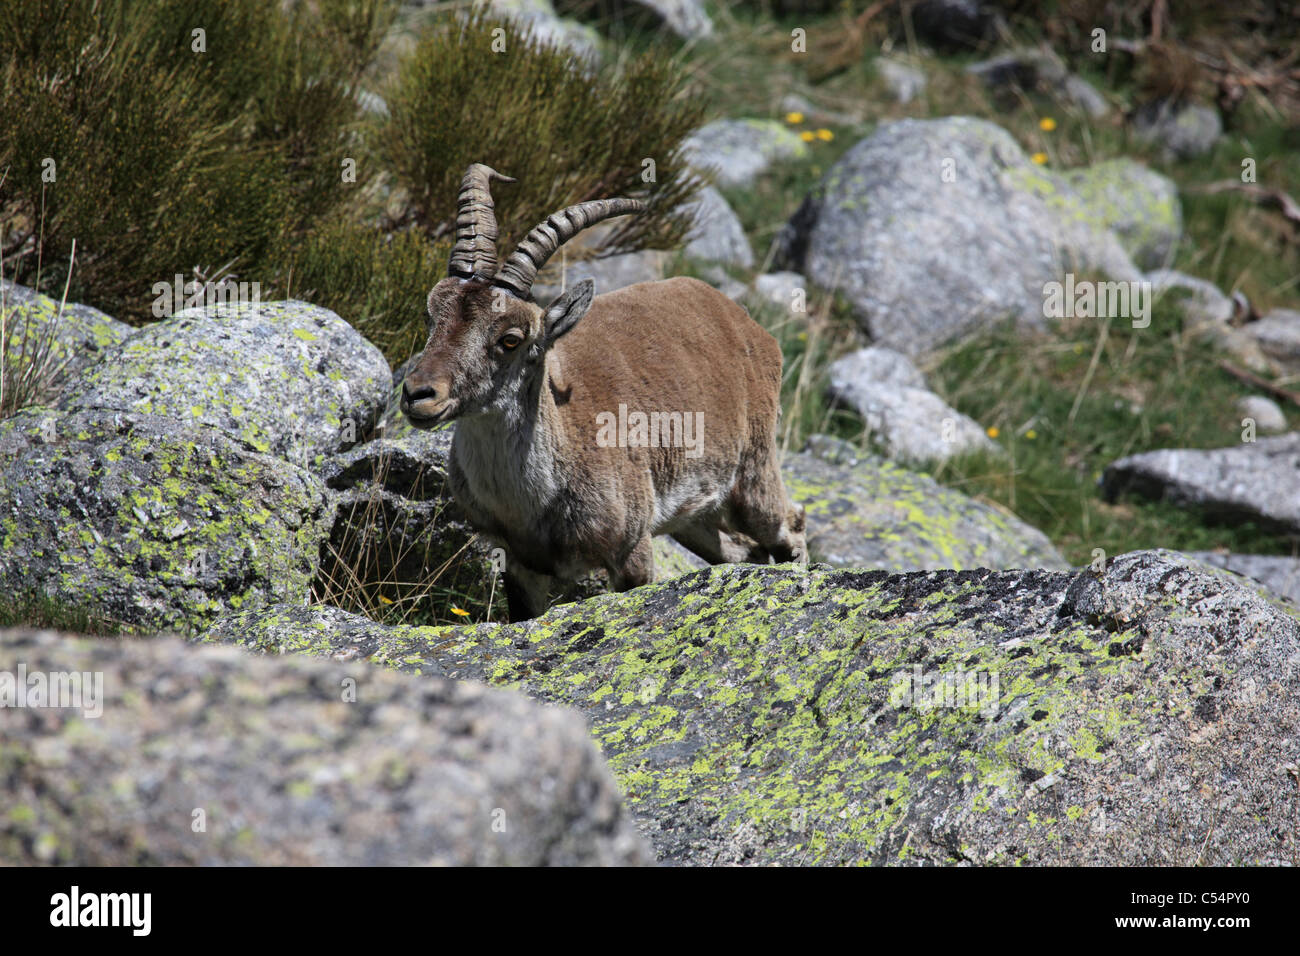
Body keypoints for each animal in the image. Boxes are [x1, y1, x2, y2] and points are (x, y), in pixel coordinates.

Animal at [401, 164, 807, 619]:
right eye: (432, 314)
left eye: (511, 339)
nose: (418, 394)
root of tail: (747, 323)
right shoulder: (519, 564)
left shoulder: (631, 549)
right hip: (695, 518)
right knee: (745, 553)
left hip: (754, 471)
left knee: (790, 528)